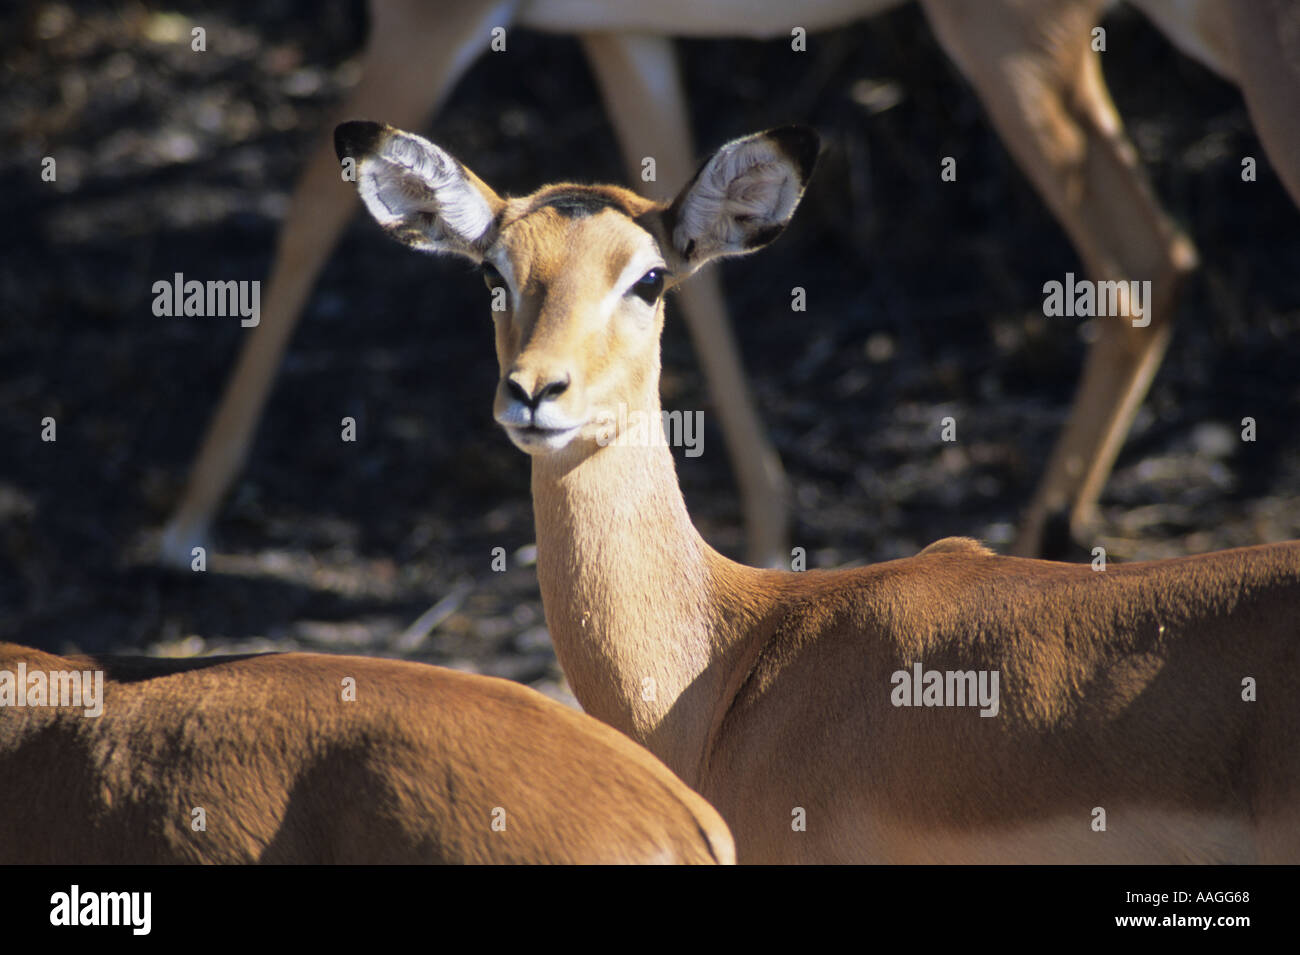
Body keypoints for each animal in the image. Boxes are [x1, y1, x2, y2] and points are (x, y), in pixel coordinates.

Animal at [158, 0, 1300, 567]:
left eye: (642, 283)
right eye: (491, 274)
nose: (533, 392)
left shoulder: (431, 12)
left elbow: (305, 209)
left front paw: (187, 520)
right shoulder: (619, 35)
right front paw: (767, 516)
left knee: (1144, 258)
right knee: (1158, 257)